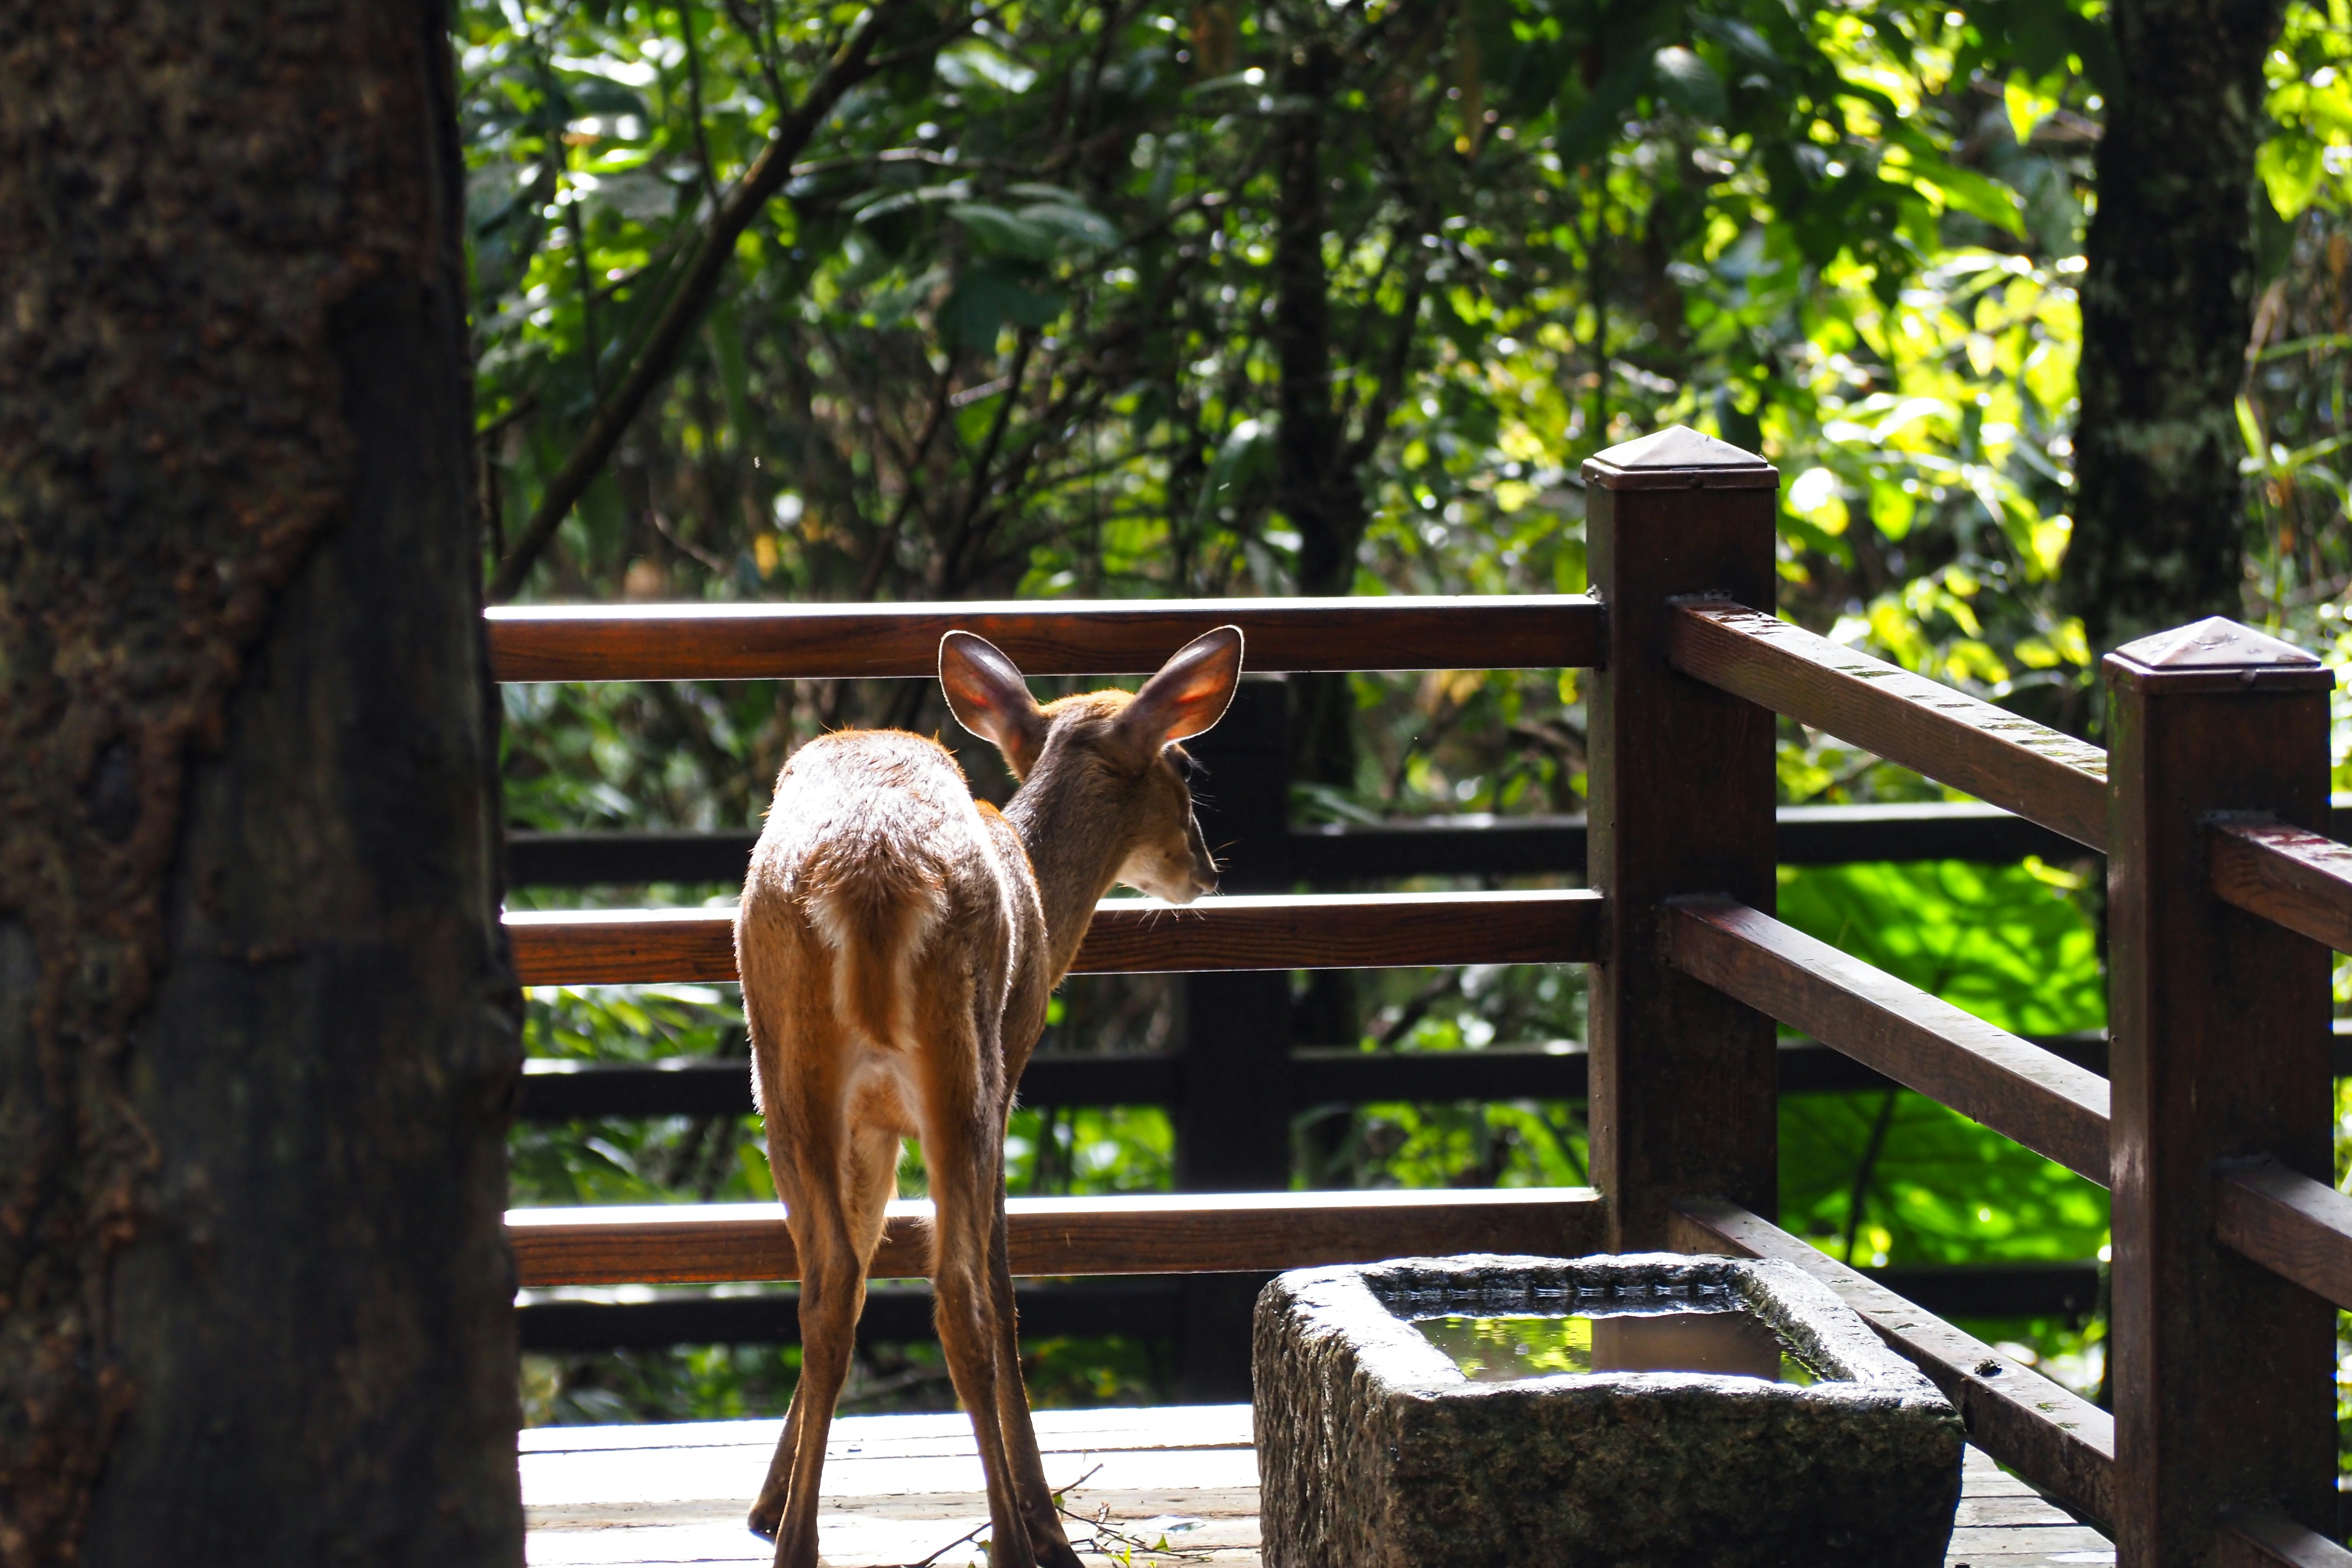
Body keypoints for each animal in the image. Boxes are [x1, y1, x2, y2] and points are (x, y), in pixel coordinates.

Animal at [734, 624, 1245, 1568]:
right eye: (1184, 763)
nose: (1206, 868)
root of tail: (870, 880)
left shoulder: (870, 1125)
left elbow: (858, 1256)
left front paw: (770, 1502)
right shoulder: (1010, 1069)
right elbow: (1004, 1283)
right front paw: (1047, 1517)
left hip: (786, 1079)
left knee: (828, 1288)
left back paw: (796, 1541)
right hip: (960, 1068)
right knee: (965, 1297)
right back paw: (1017, 1535)